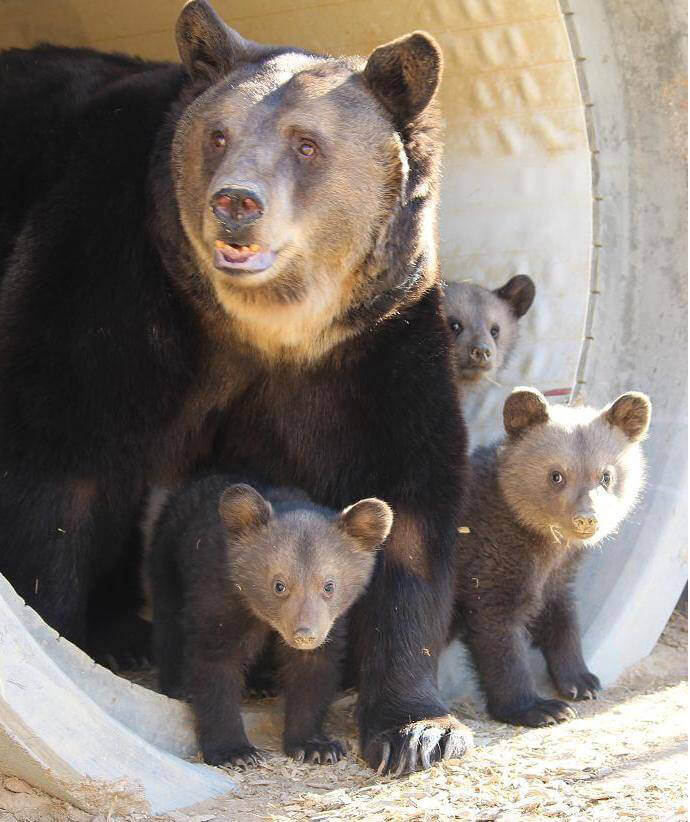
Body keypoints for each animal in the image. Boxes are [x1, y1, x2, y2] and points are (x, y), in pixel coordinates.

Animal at [145, 476, 392, 767]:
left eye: (329, 585)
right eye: (279, 585)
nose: (305, 634)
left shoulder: (331, 625)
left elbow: (313, 670)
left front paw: (316, 746)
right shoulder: (220, 593)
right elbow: (215, 664)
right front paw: (235, 751)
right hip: (168, 554)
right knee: (169, 617)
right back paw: (176, 684)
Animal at [451, 387, 651, 727]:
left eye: (606, 475)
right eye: (556, 475)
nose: (586, 520)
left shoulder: (556, 572)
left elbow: (560, 612)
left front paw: (582, 680)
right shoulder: (488, 558)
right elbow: (498, 632)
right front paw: (539, 707)